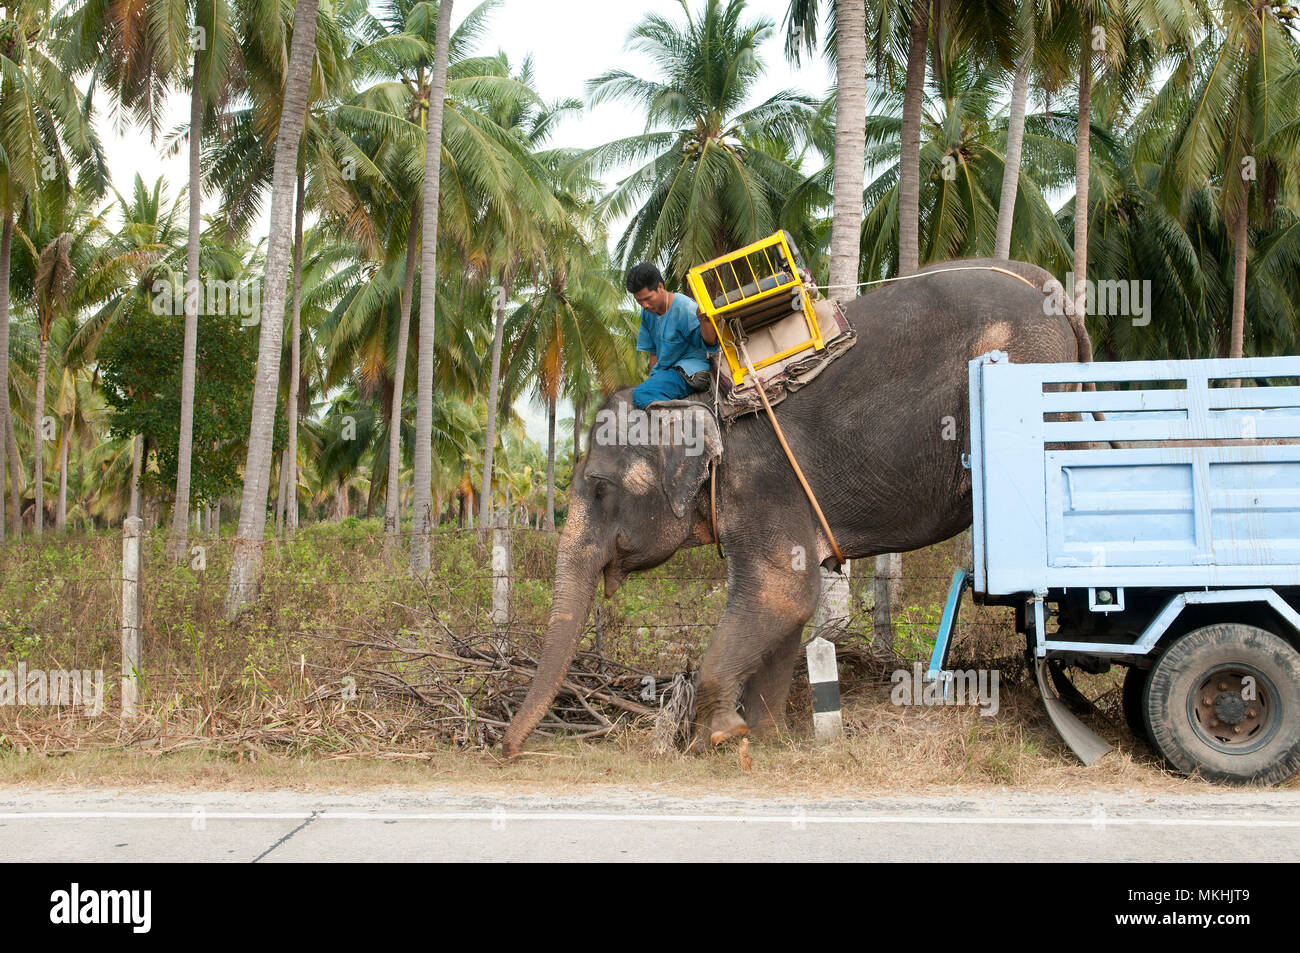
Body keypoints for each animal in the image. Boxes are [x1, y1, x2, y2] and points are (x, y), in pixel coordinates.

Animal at [501, 258, 1092, 758]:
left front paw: (719, 737)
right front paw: (767, 735)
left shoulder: (762, 481)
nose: (508, 751)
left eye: (599, 487)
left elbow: (778, 593)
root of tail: (1053, 289)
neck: (690, 401)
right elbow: (793, 603)